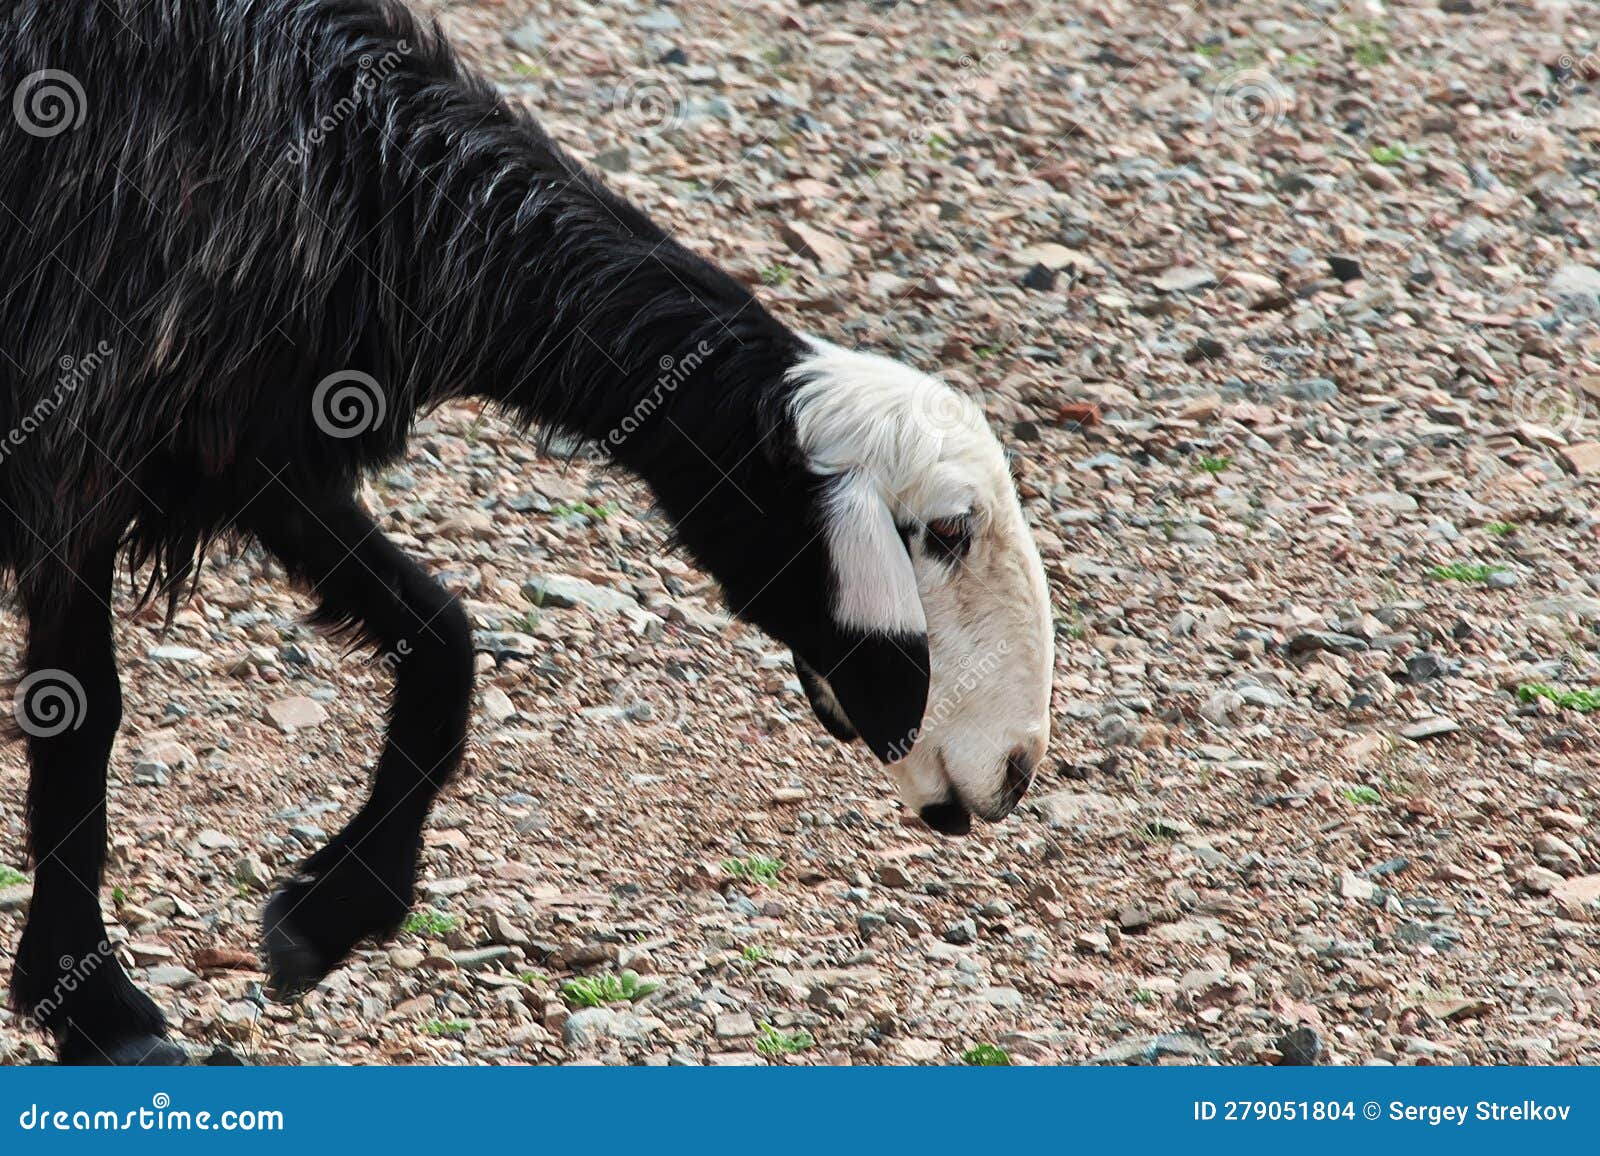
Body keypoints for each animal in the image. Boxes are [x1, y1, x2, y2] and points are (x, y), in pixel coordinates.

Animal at [0, 0, 1054, 1065]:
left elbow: (444, 637)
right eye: (947, 533)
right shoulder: (77, 433)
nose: (1016, 773)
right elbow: (81, 712)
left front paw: (329, 915)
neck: (372, 189)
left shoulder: (240, 438)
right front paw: (94, 1004)